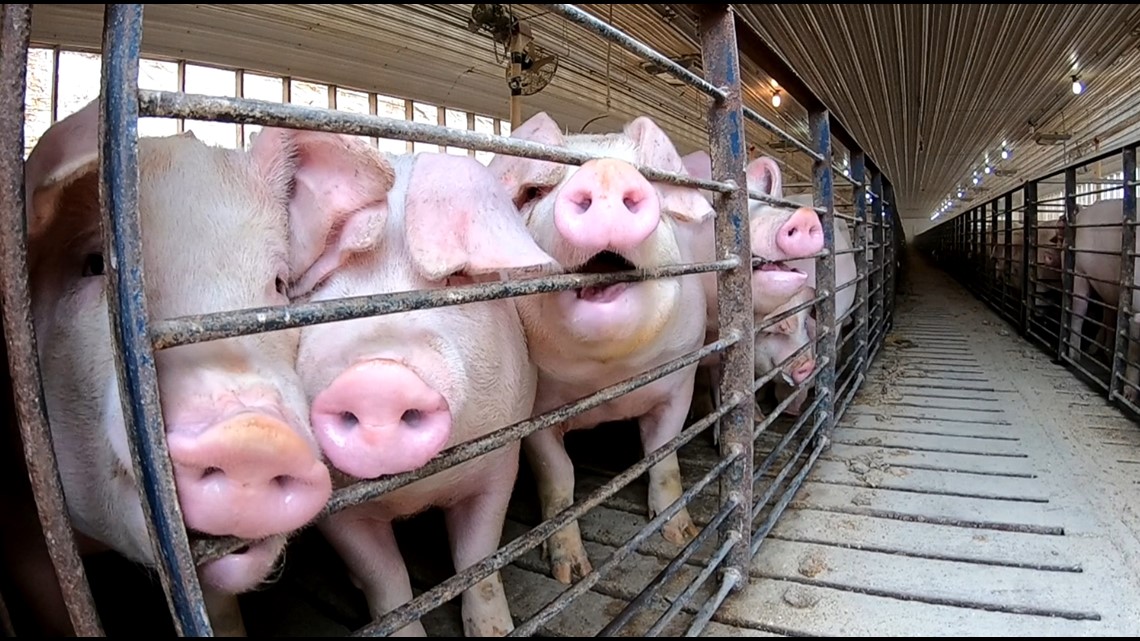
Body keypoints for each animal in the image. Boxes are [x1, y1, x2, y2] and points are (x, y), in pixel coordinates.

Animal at [252, 126, 557, 636]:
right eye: (318, 285)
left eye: (458, 277)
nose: (376, 381)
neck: (413, 494)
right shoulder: (338, 508)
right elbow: (386, 580)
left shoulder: (499, 461)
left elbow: (478, 559)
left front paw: (493, 628)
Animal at [485, 112, 718, 585]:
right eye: (534, 192)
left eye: (647, 178)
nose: (606, 172)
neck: (608, 378)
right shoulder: (535, 416)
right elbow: (559, 479)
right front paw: (570, 573)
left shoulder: (678, 381)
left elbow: (663, 457)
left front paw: (680, 535)